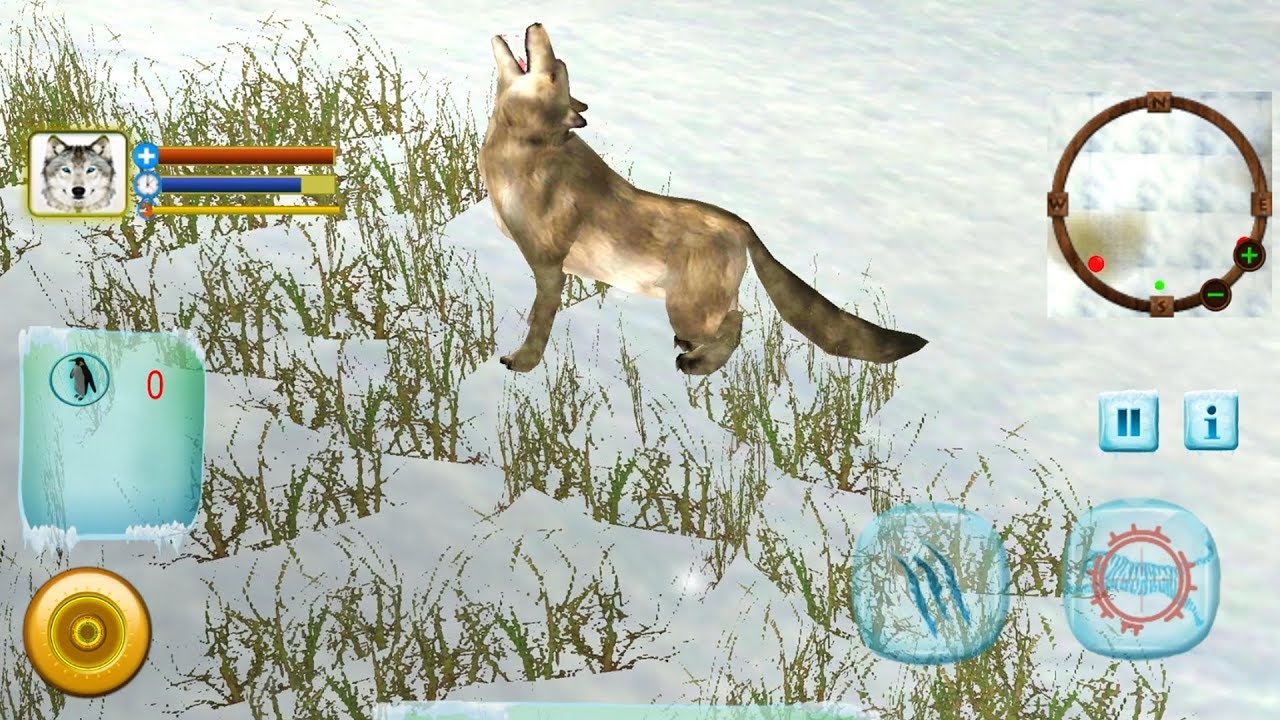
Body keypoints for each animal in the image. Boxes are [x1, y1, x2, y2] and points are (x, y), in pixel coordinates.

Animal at [479, 25, 927, 375]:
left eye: (555, 72)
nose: (536, 23)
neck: (525, 150)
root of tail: (743, 226)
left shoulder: (550, 268)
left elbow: (539, 323)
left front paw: (521, 362)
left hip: (688, 309)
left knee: (737, 322)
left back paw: (696, 364)